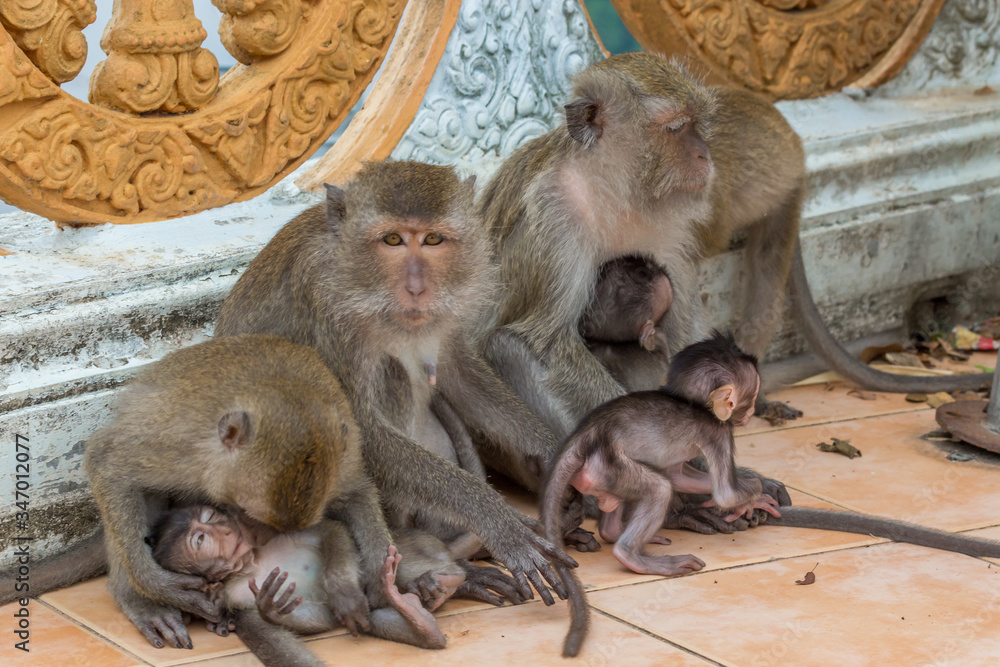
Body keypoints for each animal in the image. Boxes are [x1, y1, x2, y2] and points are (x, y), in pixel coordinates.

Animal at [214, 160, 586, 612]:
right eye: (392, 240)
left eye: (432, 239)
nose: (417, 287)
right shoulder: (326, 308)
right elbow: (359, 433)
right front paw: (500, 522)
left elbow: (460, 375)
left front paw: (558, 459)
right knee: (391, 376)